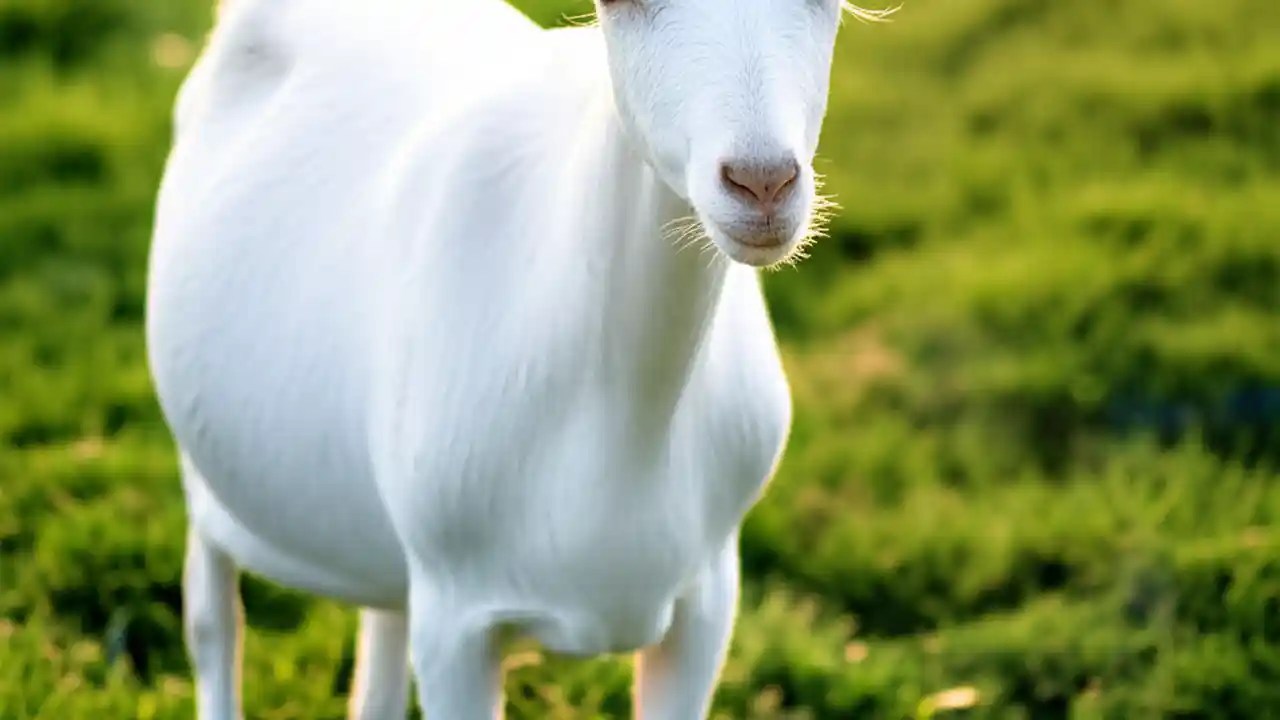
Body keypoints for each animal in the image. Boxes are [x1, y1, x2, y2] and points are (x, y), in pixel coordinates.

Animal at [148, 0, 879, 716]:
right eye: (618, 1)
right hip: (203, 475)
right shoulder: (454, 617)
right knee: (213, 622)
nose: (762, 182)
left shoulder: (708, 598)